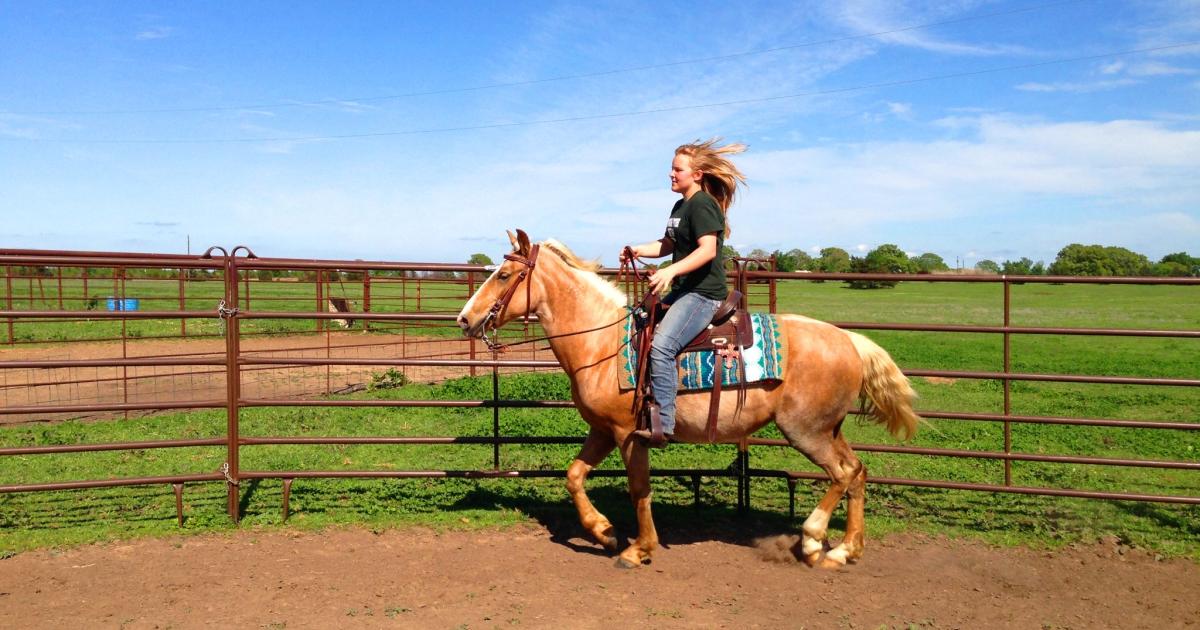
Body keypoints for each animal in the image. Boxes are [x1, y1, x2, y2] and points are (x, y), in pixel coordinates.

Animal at [456, 229, 919, 569]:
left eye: (503, 275)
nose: (464, 319)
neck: (601, 343)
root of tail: (849, 339)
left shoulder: (629, 433)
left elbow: (639, 489)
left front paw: (639, 548)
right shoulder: (602, 430)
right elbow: (574, 475)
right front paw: (605, 532)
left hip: (806, 431)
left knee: (842, 474)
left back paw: (812, 541)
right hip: (829, 428)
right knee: (858, 471)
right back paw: (846, 549)